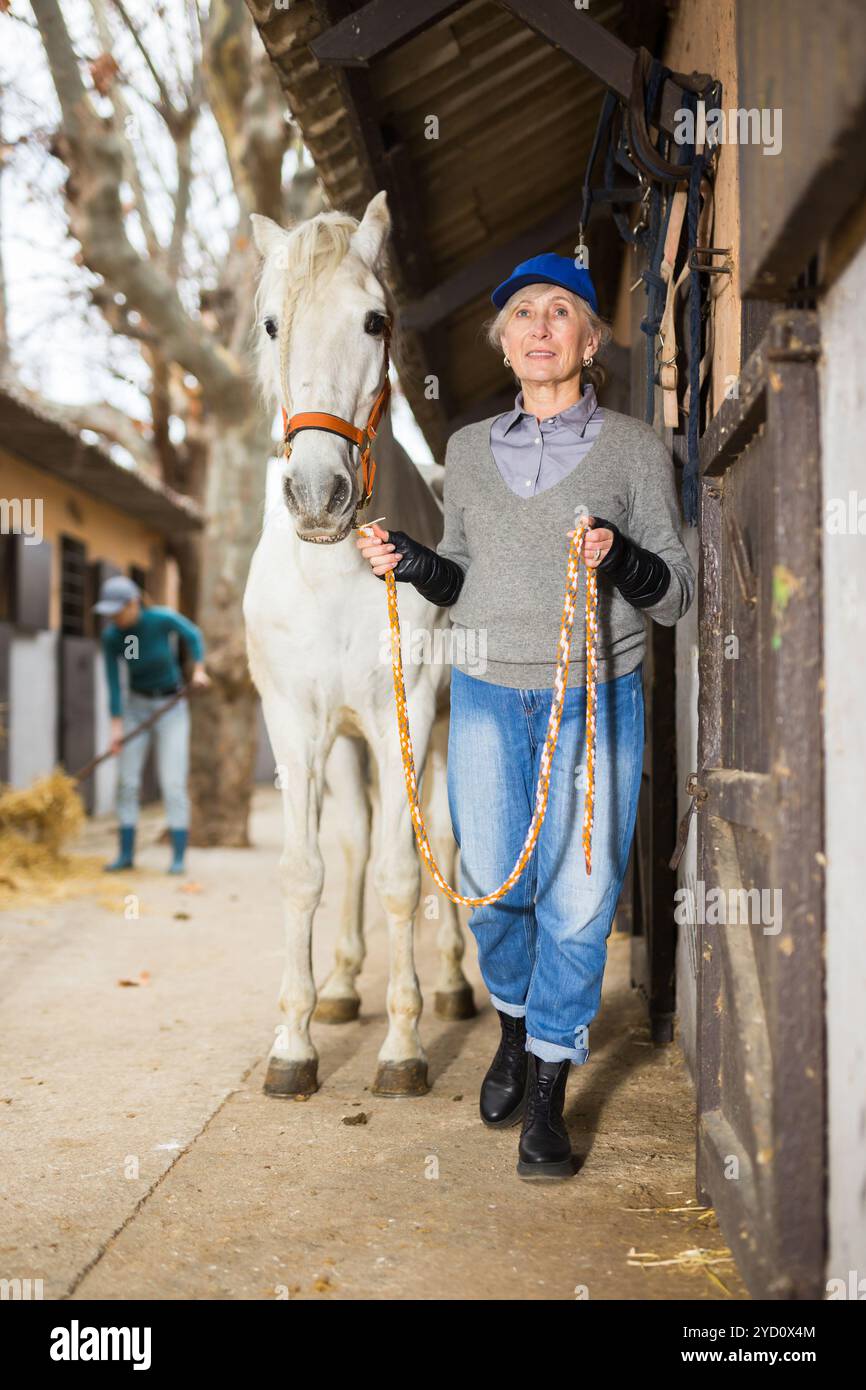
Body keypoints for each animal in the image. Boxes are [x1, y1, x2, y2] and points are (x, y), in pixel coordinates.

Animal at [243, 190, 475, 1099]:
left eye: (376, 320)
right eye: (273, 323)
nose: (317, 495)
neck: (333, 571)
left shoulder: (395, 720)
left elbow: (402, 873)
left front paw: (403, 1048)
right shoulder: (296, 725)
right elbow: (305, 871)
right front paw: (295, 1043)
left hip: (437, 733)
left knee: (440, 839)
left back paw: (449, 986)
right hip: (340, 744)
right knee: (347, 844)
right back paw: (342, 988)